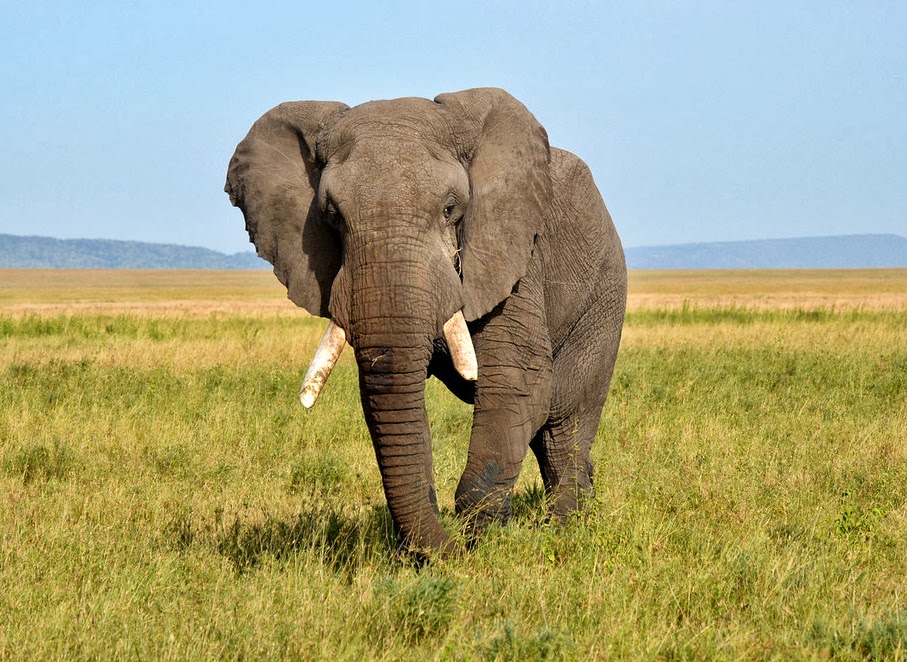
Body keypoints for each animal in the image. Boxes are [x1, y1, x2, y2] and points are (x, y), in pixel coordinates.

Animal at [225, 88, 626, 557]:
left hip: (602, 295)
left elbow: (519, 382)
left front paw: (481, 548)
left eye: (451, 209)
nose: (449, 549)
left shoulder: (513, 256)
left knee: (564, 417)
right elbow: (382, 395)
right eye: (331, 216)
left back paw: (567, 531)